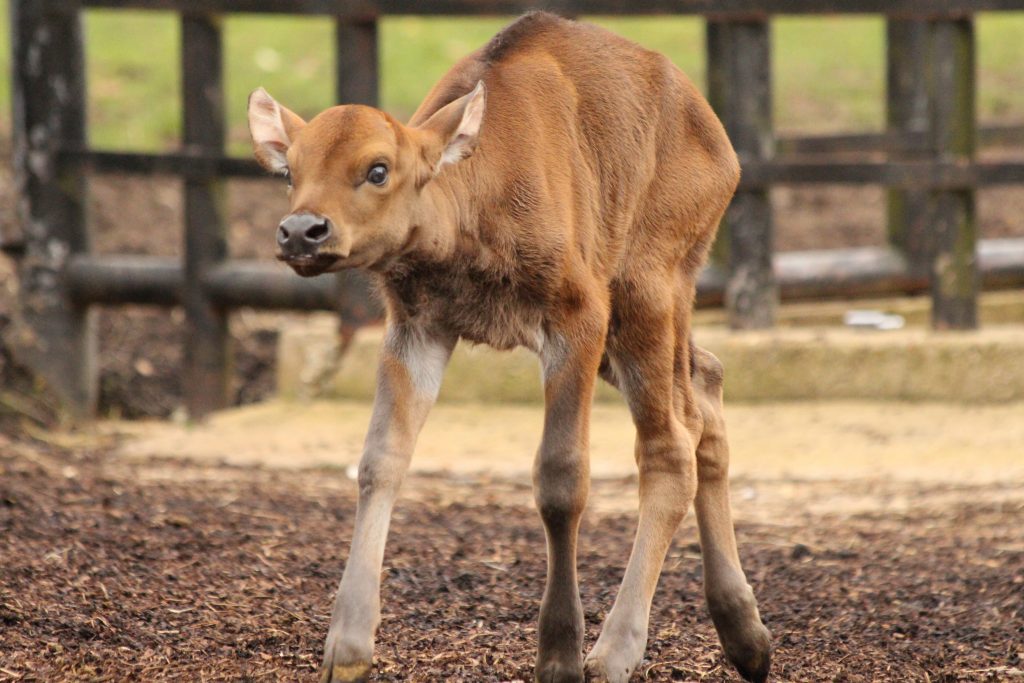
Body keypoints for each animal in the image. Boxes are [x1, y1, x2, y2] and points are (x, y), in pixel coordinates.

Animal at [248, 12, 771, 683]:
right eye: (290, 170)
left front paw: (559, 654)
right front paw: (347, 649)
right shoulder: (418, 326)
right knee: (705, 385)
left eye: (378, 169)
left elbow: (560, 479)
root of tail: (720, 140)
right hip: (636, 327)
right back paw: (746, 636)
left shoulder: (578, 313)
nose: (301, 232)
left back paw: (615, 652)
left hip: (647, 286)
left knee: (669, 445)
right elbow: (380, 460)